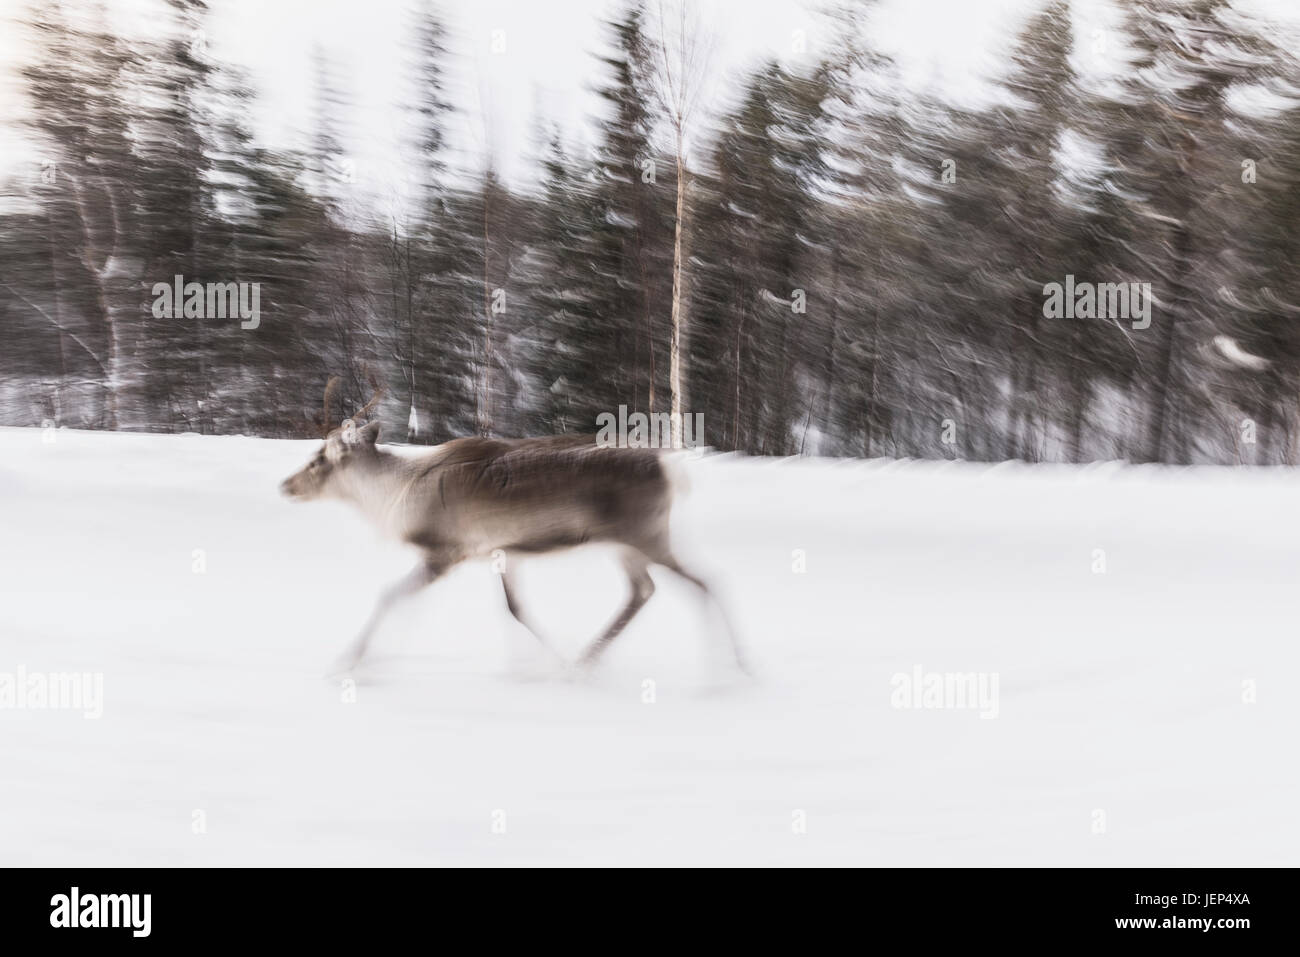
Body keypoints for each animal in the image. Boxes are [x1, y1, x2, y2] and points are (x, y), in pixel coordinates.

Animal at [280, 381, 749, 677]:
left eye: (319, 458)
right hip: (626, 543)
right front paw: (540, 663)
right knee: (644, 591)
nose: (286, 485)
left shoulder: (446, 552)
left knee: (704, 581)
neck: (394, 494)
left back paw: (735, 668)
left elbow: (390, 596)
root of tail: (671, 470)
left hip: (644, 535)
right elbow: (515, 609)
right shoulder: (501, 551)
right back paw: (586, 658)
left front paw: (350, 661)